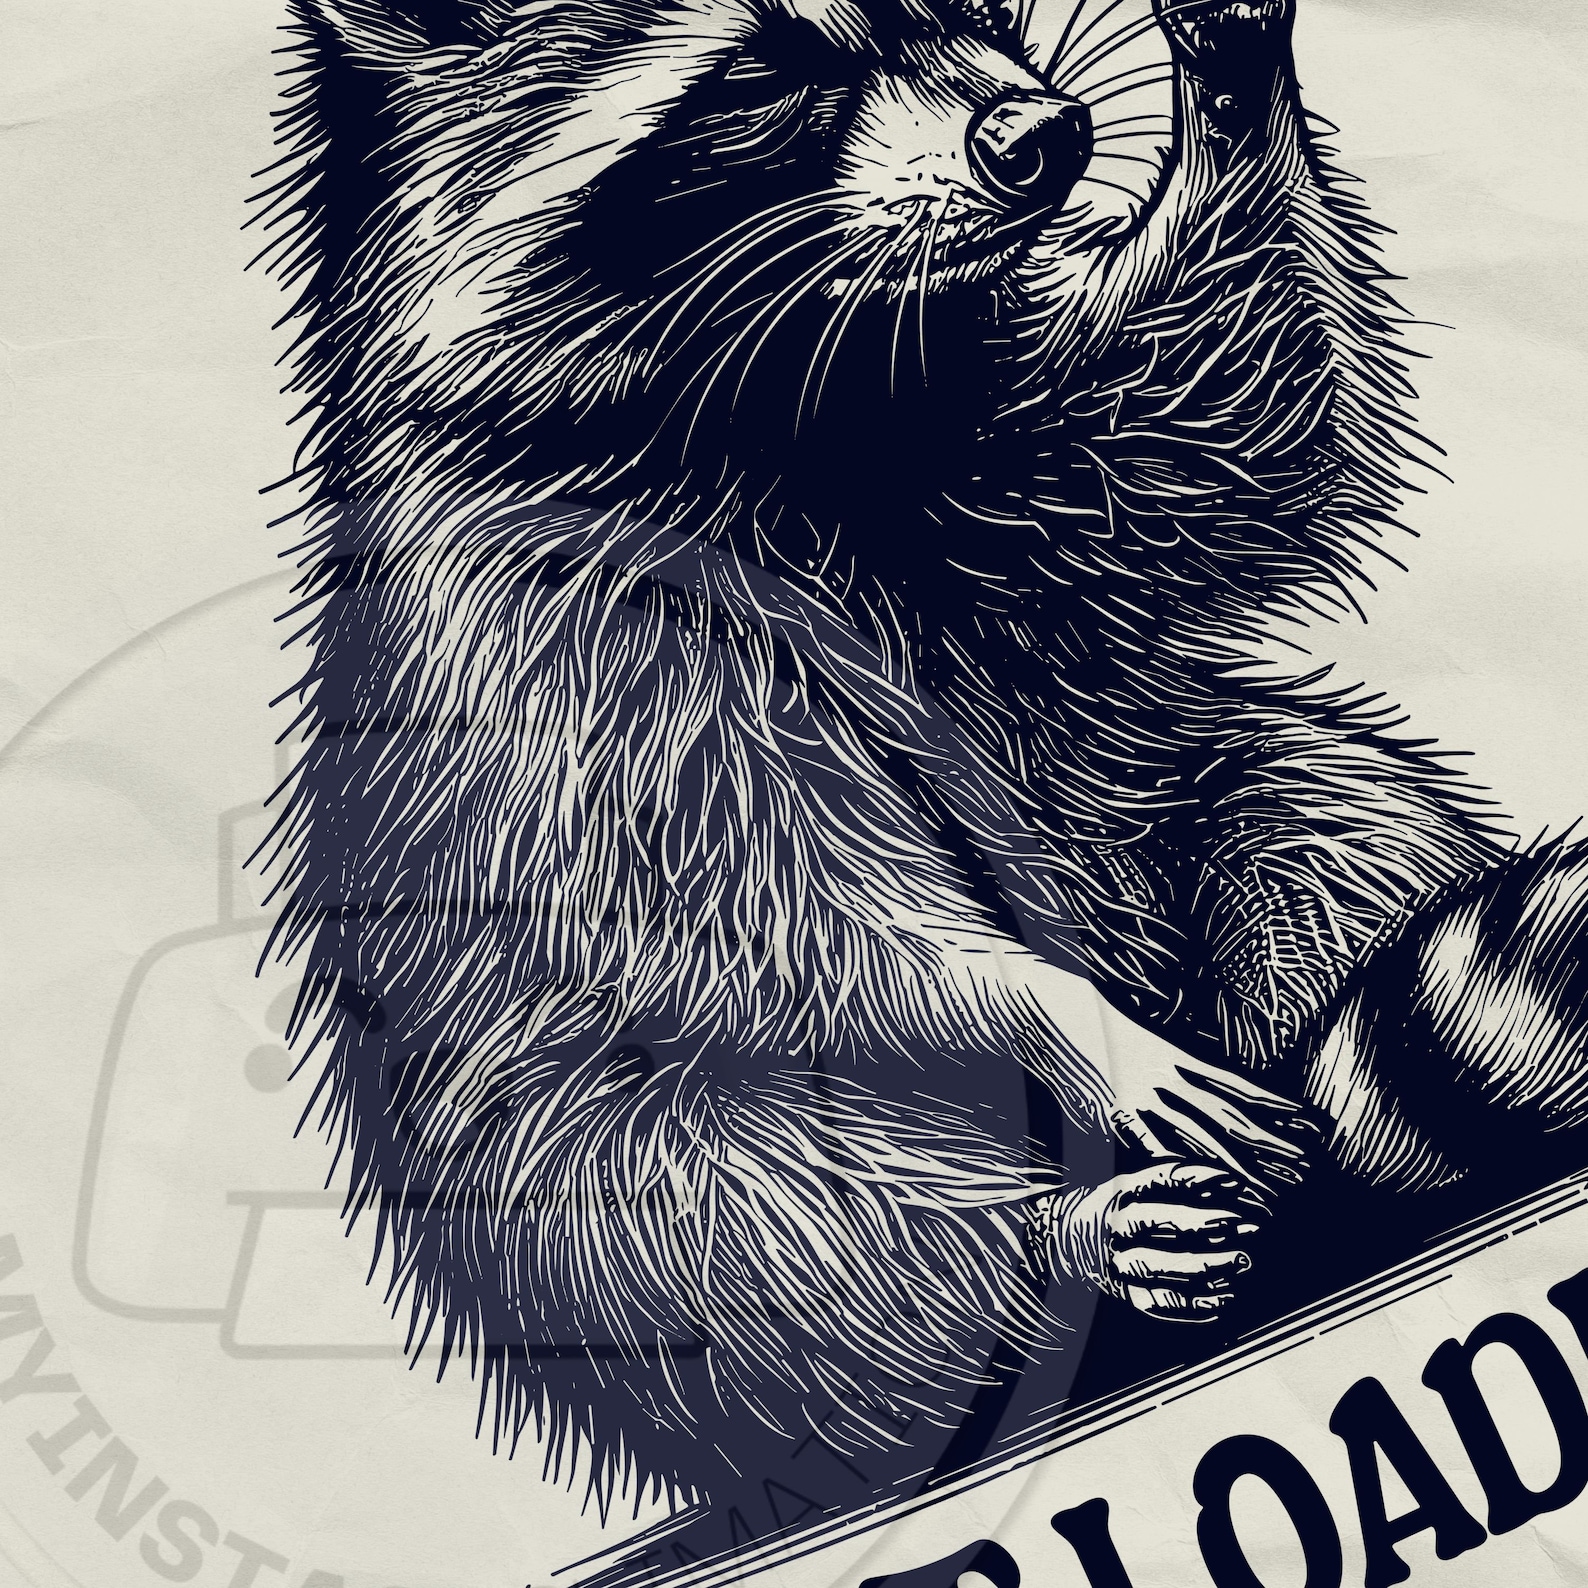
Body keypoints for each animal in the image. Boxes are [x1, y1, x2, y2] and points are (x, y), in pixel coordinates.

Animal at [259, 0, 1588, 1565]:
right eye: (767, 68)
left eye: (978, 11)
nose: (1041, 136)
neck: (790, 381)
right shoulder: (557, 636)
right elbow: (779, 907)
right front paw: (1064, 1022)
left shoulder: (978, 434)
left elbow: (1198, 421)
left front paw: (1231, 83)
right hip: (542, 1209)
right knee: (724, 1211)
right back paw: (1042, 1261)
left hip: (1172, 800)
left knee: (1305, 814)